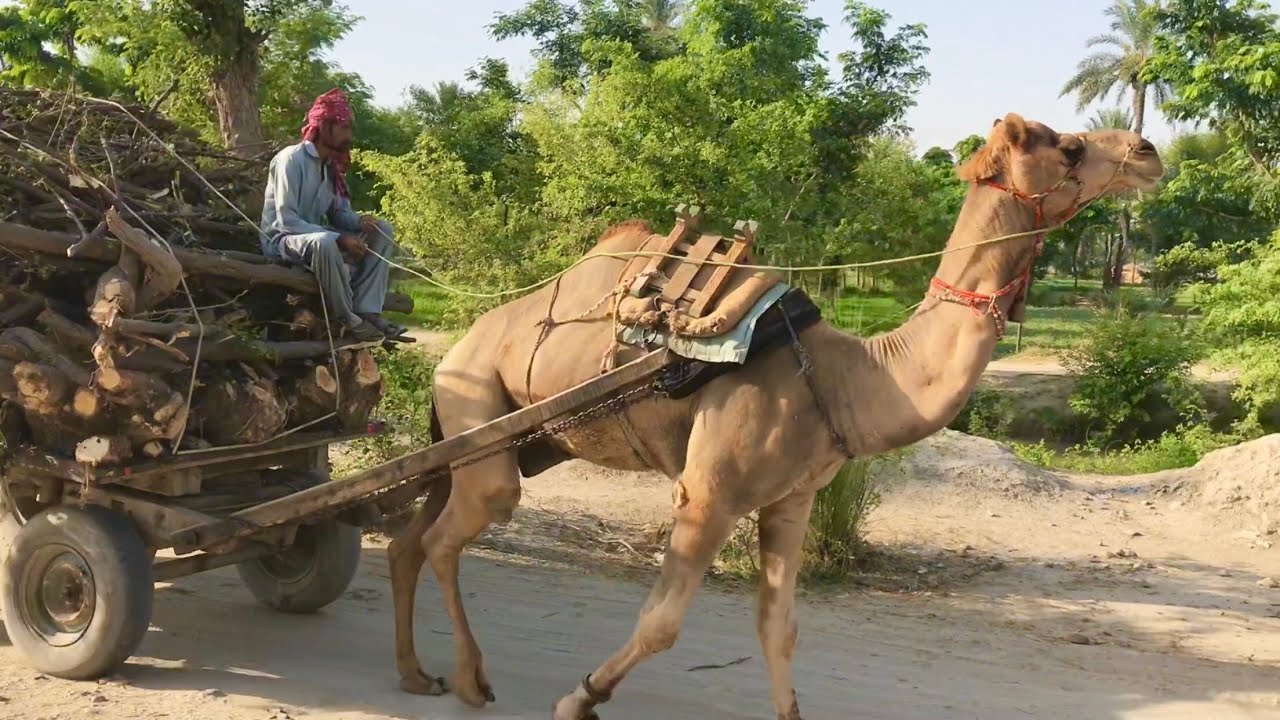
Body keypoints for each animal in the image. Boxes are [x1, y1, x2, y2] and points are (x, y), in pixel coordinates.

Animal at [386, 112, 1164, 720]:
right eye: (1068, 146)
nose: (1148, 151)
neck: (850, 376)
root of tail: (460, 344)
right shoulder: (710, 493)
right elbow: (663, 622)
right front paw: (579, 697)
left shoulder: (791, 500)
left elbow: (778, 627)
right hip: (477, 406)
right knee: (450, 535)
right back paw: (469, 679)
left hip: (495, 434)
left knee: (410, 535)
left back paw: (416, 674)